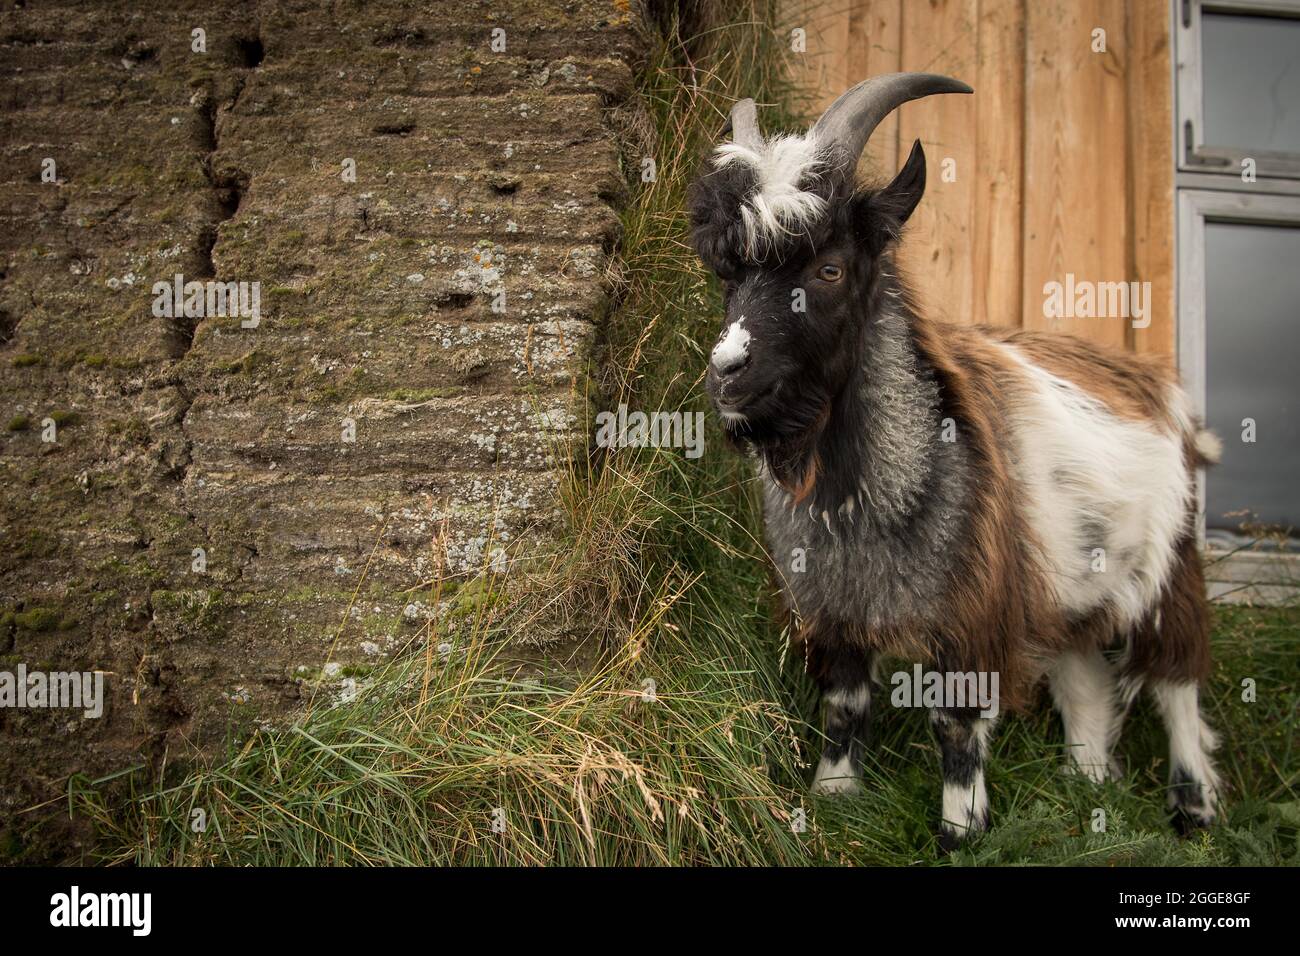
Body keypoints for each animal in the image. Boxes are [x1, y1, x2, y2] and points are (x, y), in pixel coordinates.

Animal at [687, 73, 1223, 847]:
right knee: (1085, 677)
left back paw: (1194, 808)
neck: (864, 506)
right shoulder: (832, 611)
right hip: (1067, 577)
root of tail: (1155, 382)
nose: (728, 372)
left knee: (1178, 680)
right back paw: (1087, 785)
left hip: (1169, 567)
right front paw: (833, 797)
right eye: (729, 276)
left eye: (828, 267)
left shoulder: (971, 608)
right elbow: (844, 705)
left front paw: (961, 831)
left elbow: (956, 723)